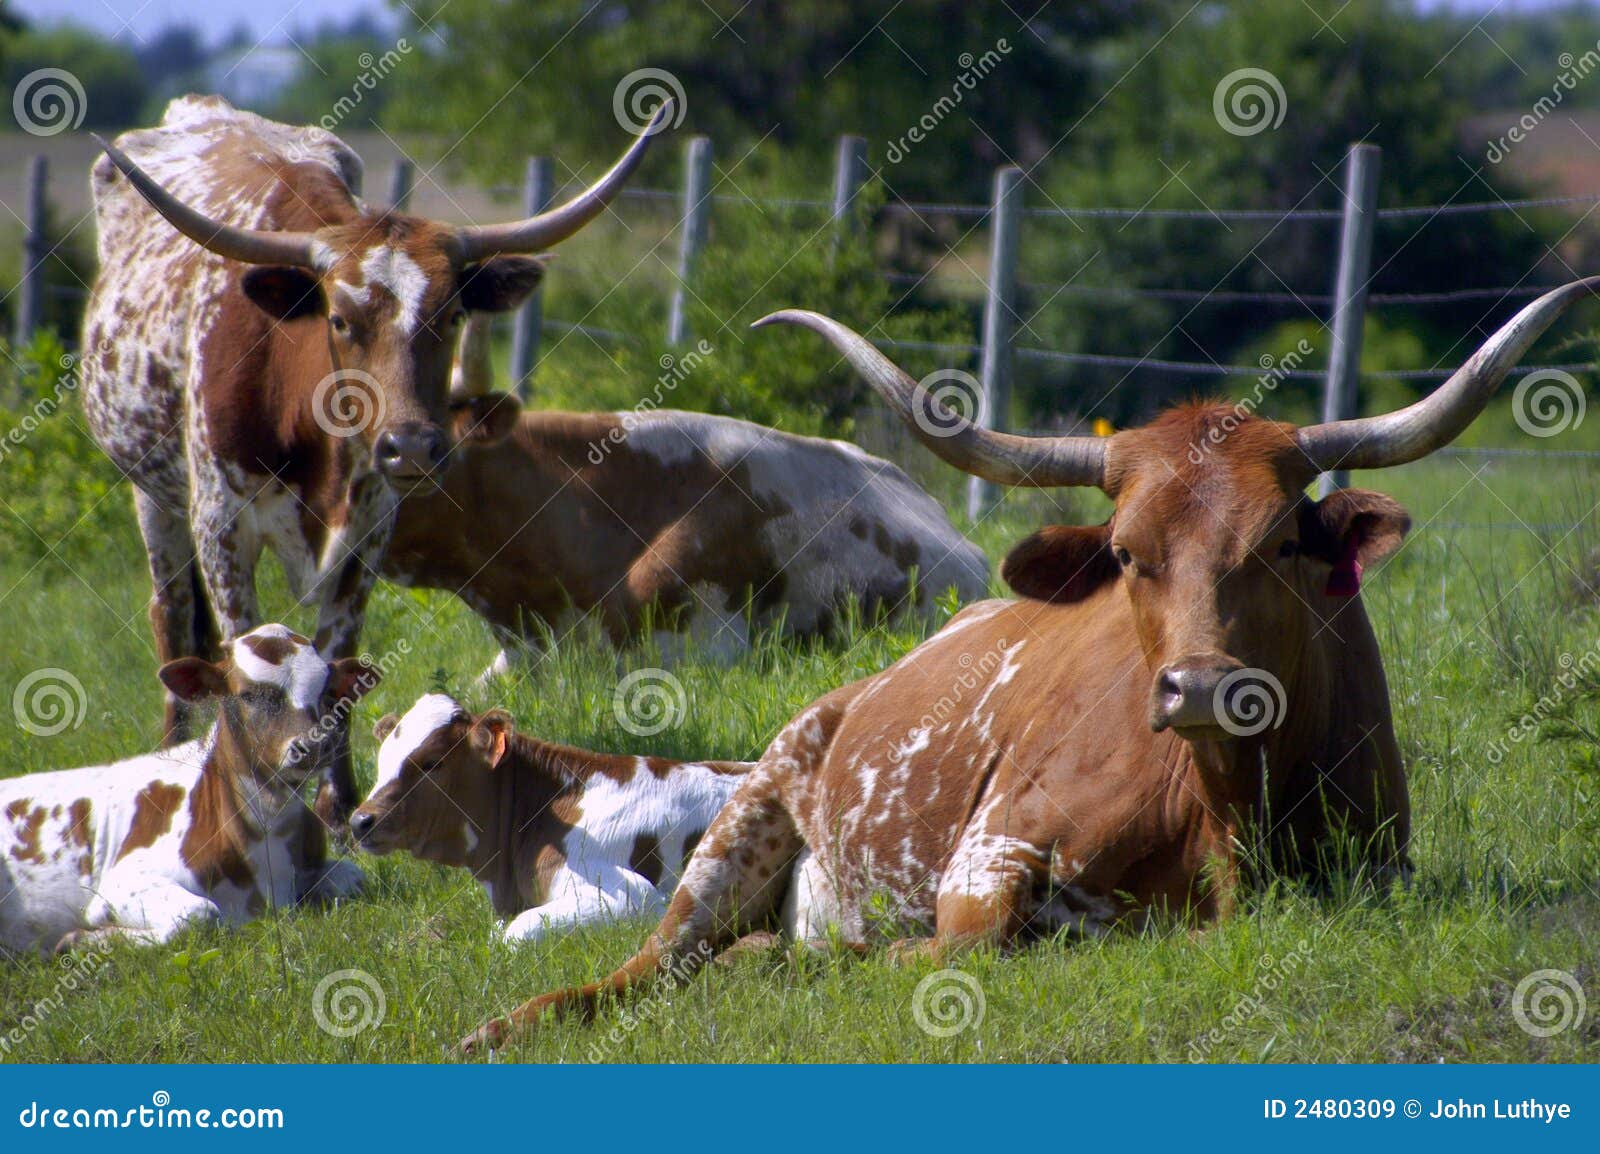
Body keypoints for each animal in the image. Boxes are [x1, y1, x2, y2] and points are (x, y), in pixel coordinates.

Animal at [0, 625, 378, 956]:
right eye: (248, 694)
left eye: (327, 692)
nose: (315, 745)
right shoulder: (119, 883)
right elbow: (199, 914)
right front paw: (82, 940)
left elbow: (354, 876)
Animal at [80, 94, 668, 827]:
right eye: (339, 319)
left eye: (451, 315)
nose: (410, 444)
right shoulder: (221, 524)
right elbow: (239, 651)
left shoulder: (368, 534)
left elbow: (339, 665)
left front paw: (340, 802)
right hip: (152, 495)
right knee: (172, 620)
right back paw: (171, 746)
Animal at [457, 278, 1599, 1052]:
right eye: (1127, 552)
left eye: (1281, 541)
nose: (1199, 687)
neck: (1228, 811)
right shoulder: (988, 851)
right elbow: (959, 943)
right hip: (743, 823)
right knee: (648, 967)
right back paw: (503, 1025)